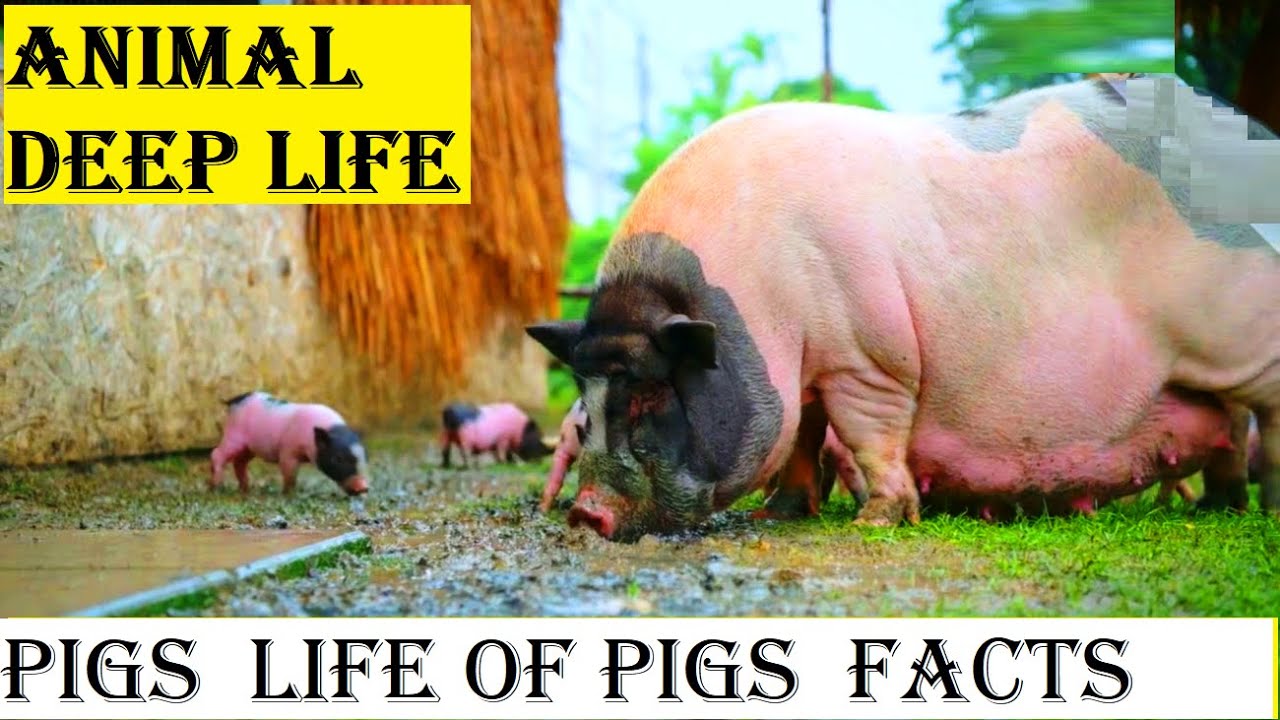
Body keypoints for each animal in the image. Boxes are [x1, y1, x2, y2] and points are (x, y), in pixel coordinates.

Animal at [209, 391, 369, 496]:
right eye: (338, 458)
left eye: (365, 455)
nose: (364, 487)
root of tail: (235, 400)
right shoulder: (288, 451)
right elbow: (289, 474)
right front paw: (289, 495)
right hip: (233, 436)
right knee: (217, 453)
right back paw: (217, 487)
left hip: (248, 448)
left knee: (239, 462)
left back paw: (246, 489)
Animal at [525, 73, 1280, 541]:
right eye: (585, 400)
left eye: (651, 395)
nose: (586, 514)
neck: (761, 307)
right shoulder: (806, 370)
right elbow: (802, 437)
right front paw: (780, 516)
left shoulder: (865, 355)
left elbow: (867, 430)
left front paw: (875, 522)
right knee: (1228, 425)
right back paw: (1222, 508)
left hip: (1245, 334)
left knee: (1263, 416)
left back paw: (1264, 510)